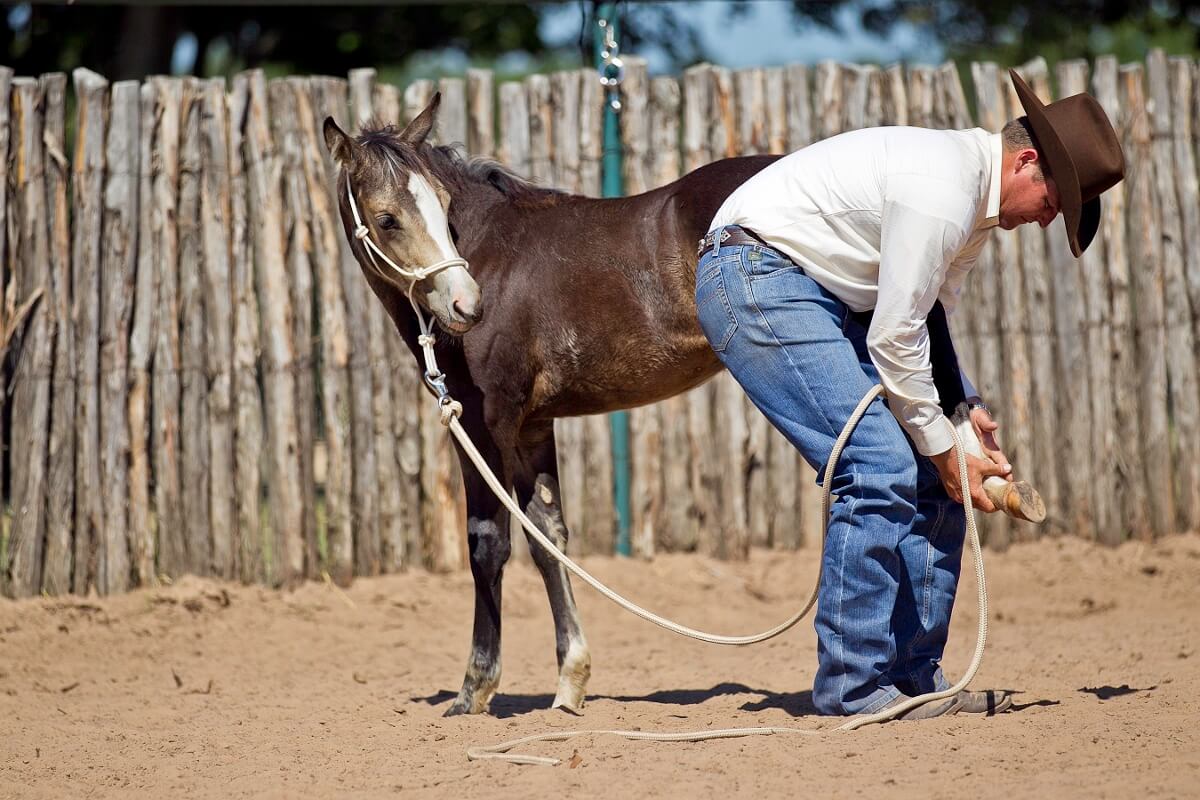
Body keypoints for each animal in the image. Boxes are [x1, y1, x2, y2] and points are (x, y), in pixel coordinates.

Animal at [323, 92, 777, 716]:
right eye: (388, 218)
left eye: (443, 204)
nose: (467, 305)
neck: (489, 252)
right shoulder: (533, 426)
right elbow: (549, 537)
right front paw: (571, 681)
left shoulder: (485, 422)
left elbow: (490, 542)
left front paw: (474, 689)